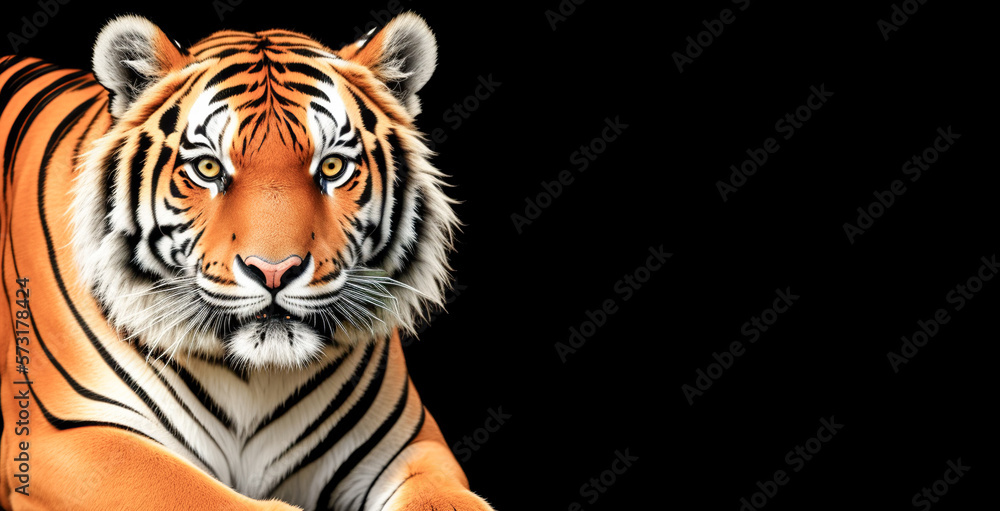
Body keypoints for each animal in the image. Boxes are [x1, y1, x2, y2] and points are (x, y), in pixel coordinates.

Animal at [0, 12, 495, 511]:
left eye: (332, 168)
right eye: (208, 169)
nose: (274, 271)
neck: (255, 377)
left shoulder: (411, 445)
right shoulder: (69, 436)